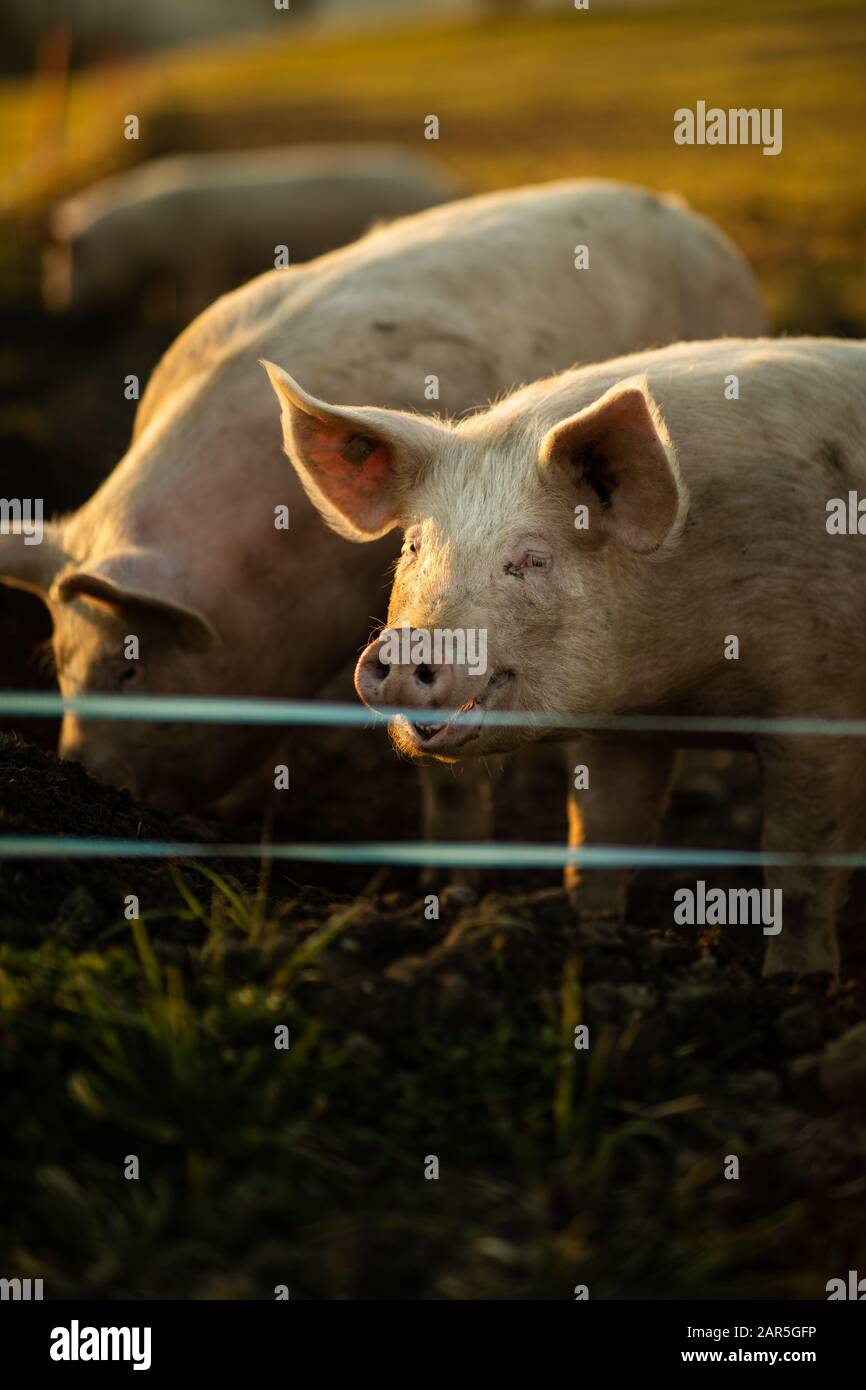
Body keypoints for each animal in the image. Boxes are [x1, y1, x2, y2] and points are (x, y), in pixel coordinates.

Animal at [42, 144, 466, 320]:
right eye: (54, 262)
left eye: (72, 259)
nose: (56, 304)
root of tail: (442, 182)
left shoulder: (204, 256)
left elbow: (195, 296)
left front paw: (181, 315)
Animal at [268, 337, 866, 977]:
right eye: (413, 546)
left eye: (532, 559)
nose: (407, 652)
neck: (684, 696)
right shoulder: (620, 733)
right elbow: (601, 832)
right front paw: (592, 928)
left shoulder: (819, 705)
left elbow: (798, 866)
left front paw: (796, 979)